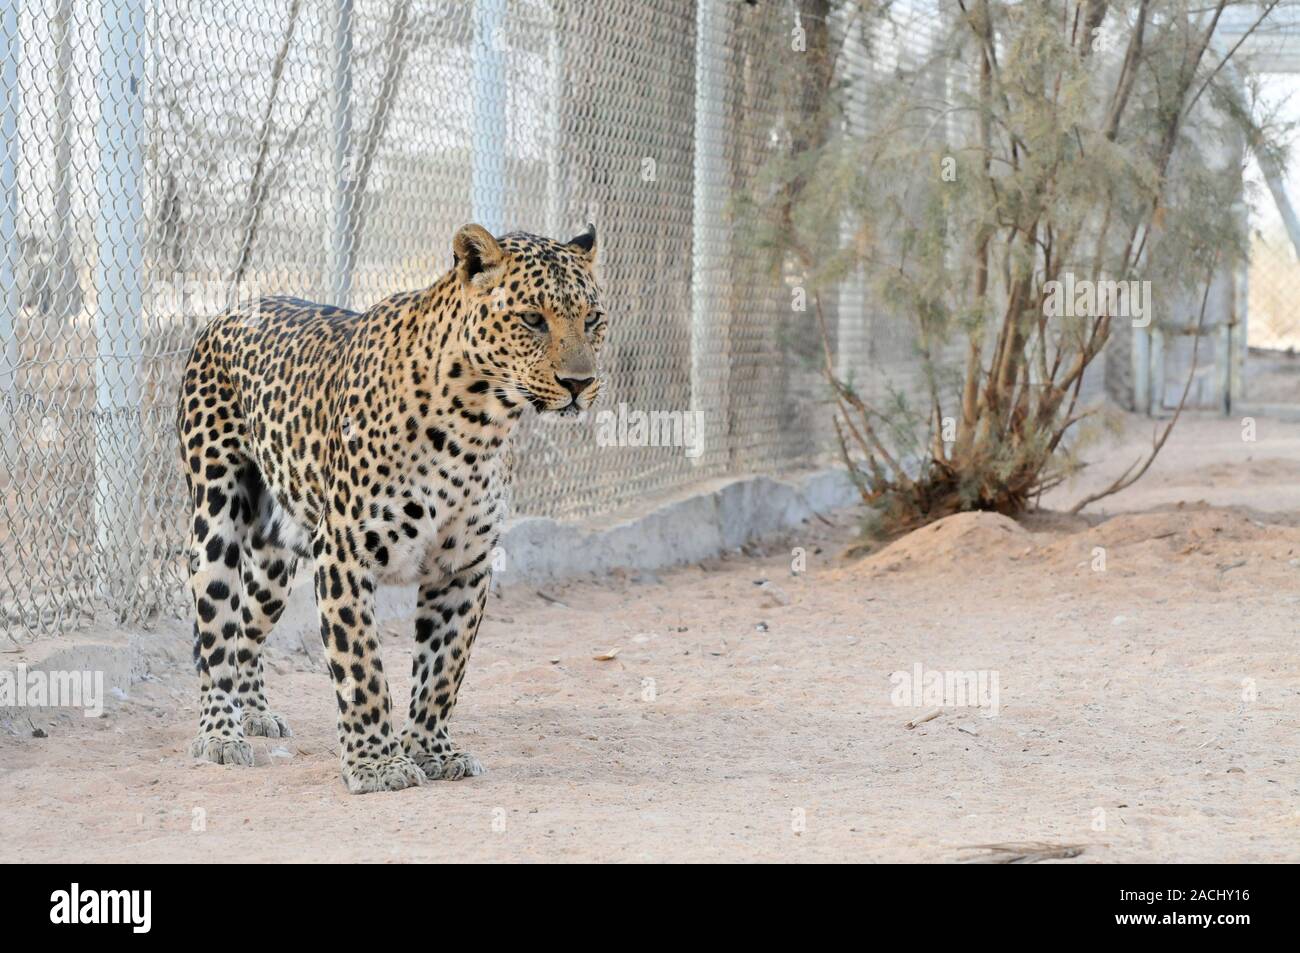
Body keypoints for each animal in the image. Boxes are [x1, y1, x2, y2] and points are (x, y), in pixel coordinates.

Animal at [176, 224, 604, 793]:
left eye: (593, 318)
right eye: (532, 319)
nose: (579, 384)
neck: (477, 426)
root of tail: (232, 309)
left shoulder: (465, 566)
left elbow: (444, 668)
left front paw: (431, 750)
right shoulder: (343, 554)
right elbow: (362, 668)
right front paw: (376, 764)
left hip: (274, 565)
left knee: (248, 623)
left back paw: (255, 713)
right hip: (214, 521)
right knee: (217, 630)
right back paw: (221, 732)